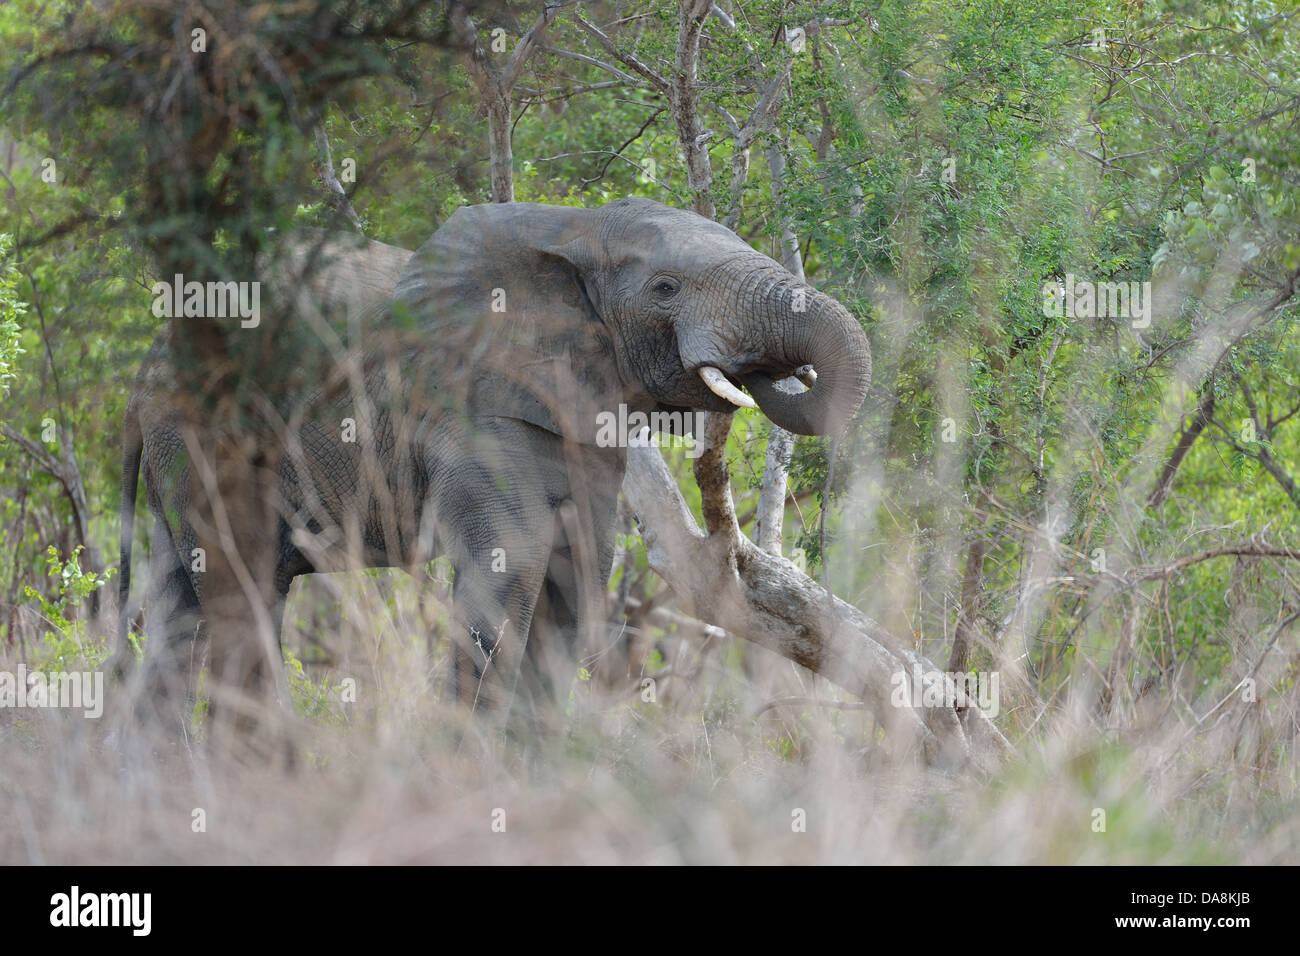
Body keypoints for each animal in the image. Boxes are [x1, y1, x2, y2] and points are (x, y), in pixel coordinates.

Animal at [113, 196, 872, 734]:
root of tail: (144, 368)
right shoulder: (466, 405)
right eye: (665, 288)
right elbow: (517, 557)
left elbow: (579, 565)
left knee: (180, 603)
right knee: (245, 585)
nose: (766, 370)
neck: (574, 228)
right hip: (202, 436)